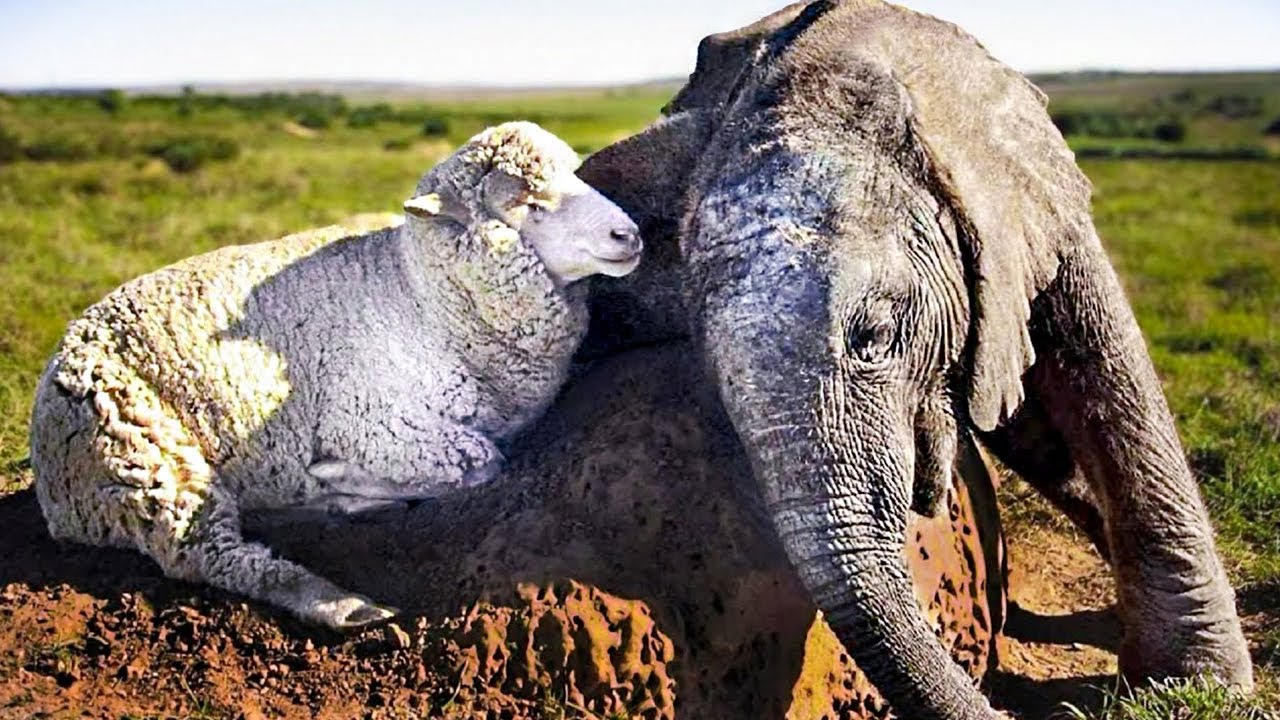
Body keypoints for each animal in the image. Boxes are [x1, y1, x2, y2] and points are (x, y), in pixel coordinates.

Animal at [28, 121, 643, 629]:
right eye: (525, 203)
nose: (629, 235)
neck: (423, 297)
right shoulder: (374, 425)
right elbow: (482, 460)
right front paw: (339, 477)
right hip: (141, 456)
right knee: (206, 554)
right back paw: (346, 597)